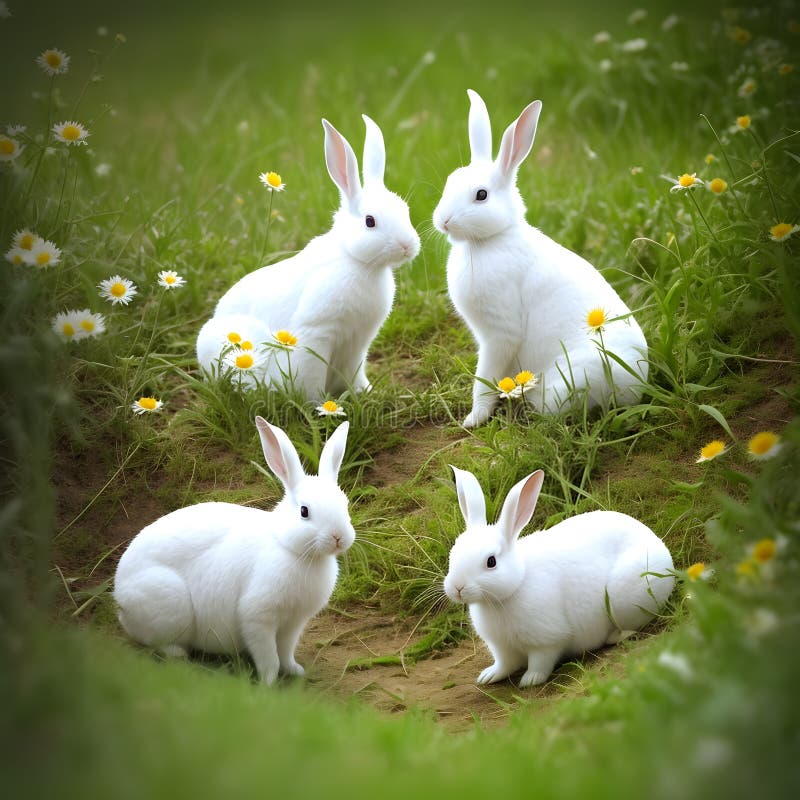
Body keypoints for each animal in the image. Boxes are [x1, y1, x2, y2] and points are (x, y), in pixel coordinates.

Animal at [113, 417, 355, 686]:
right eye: (304, 511)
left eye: (345, 504)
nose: (338, 537)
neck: (288, 547)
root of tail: (119, 596)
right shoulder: (257, 619)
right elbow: (269, 658)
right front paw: (268, 684)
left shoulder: (292, 624)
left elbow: (286, 652)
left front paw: (295, 671)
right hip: (168, 604)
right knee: (158, 642)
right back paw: (180, 654)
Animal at [196, 114, 420, 399]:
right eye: (370, 221)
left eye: (405, 210)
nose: (408, 246)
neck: (356, 261)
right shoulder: (316, 335)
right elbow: (310, 377)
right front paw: (317, 403)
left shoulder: (357, 346)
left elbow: (355, 374)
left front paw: (365, 393)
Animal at [433, 90, 649, 428]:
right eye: (449, 182)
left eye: (481, 195)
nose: (442, 221)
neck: (492, 240)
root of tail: (636, 388)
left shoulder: (499, 334)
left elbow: (485, 379)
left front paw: (473, 419)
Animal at [443, 466, 674, 687]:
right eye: (453, 553)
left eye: (491, 562)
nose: (457, 588)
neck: (514, 588)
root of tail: (661, 548)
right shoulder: (501, 647)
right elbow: (504, 664)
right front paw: (488, 677)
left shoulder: (547, 640)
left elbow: (541, 662)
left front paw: (530, 681)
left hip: (627, 601)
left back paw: (615, 636)